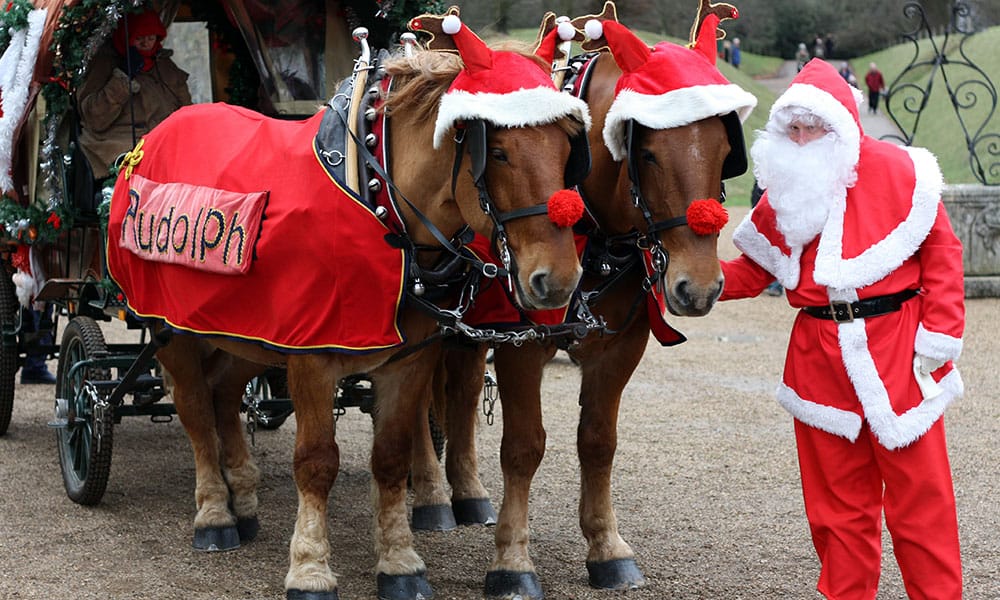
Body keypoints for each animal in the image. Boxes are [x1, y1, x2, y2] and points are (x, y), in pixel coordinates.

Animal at [104, 31, 590, 600]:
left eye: (568, 150)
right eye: (500, 152)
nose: (558, 280)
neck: (380, 205)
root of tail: (145, 145)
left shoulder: (403, 360)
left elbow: (392, 457)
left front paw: (400, 562)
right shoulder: (310, 355)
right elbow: (316, 462)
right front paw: (310, 567)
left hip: (242, 328)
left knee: (223, 392)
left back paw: (242, 495)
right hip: (174, 328)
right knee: (196, 410)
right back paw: (215, 514)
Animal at [410, 5, 757, 597]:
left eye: (722, 151)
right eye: (647, 153)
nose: (699, 286)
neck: (594, 231)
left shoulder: (620, 345)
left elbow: (598, 442)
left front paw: (606, 547)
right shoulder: (523, 343)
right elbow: (524, 446)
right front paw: (513, 560)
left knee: (459, 394)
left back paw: (467, 491)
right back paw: (431, 493)